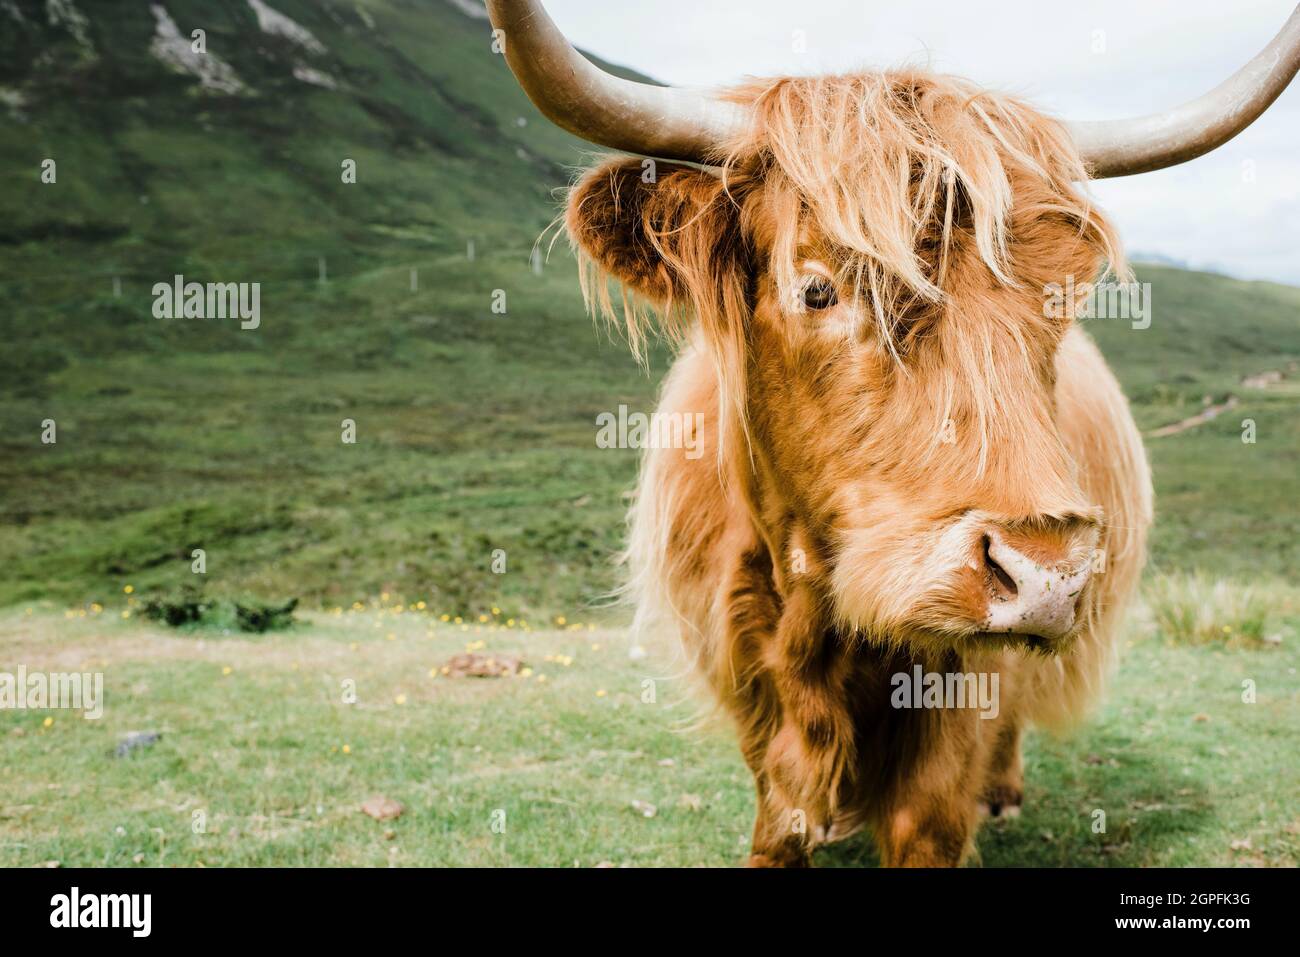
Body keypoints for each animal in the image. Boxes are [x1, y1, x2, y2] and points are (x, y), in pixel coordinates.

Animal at [487, 0, 1300, 866]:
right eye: (817, 289)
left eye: (1061, 299)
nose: (1046, 574)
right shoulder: (749, 680)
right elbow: (780, 813)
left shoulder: (956, 696)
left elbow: (929, 813)